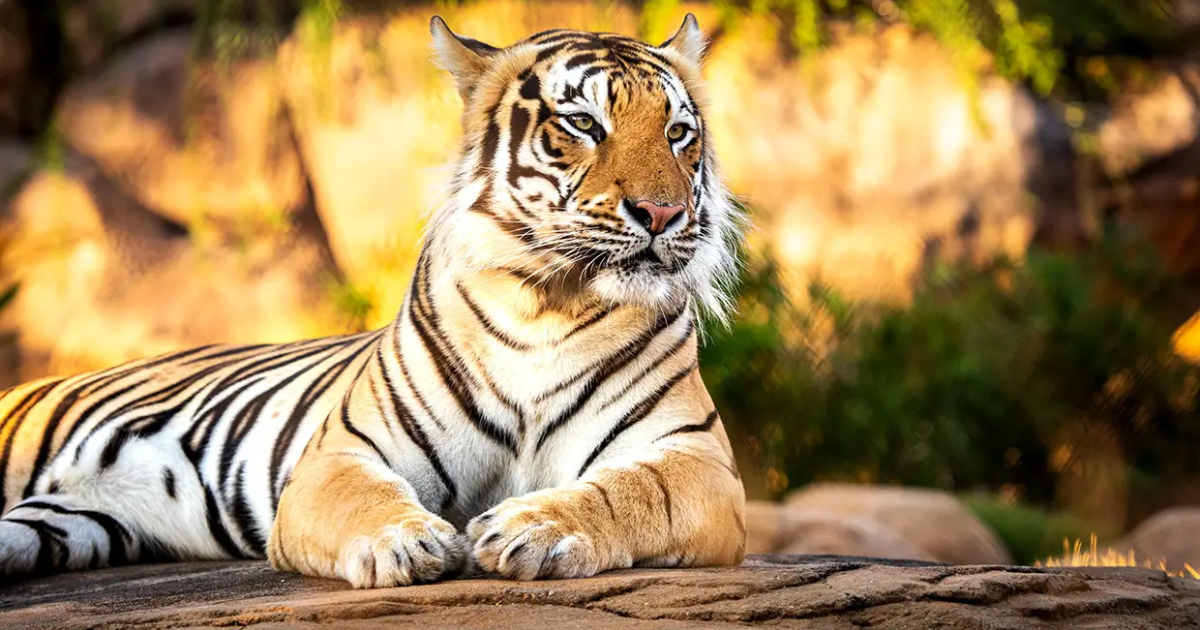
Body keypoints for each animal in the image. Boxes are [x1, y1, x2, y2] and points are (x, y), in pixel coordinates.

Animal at [0, 14, 746, 588]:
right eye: (583, 123)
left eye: (679, 132)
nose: (664, 213)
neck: (548, 306)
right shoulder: (337, 456)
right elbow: (366, 496)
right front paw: (407, 542)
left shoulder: (697, 461)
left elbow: (627, 491)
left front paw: (532, 526)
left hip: (64, 522)